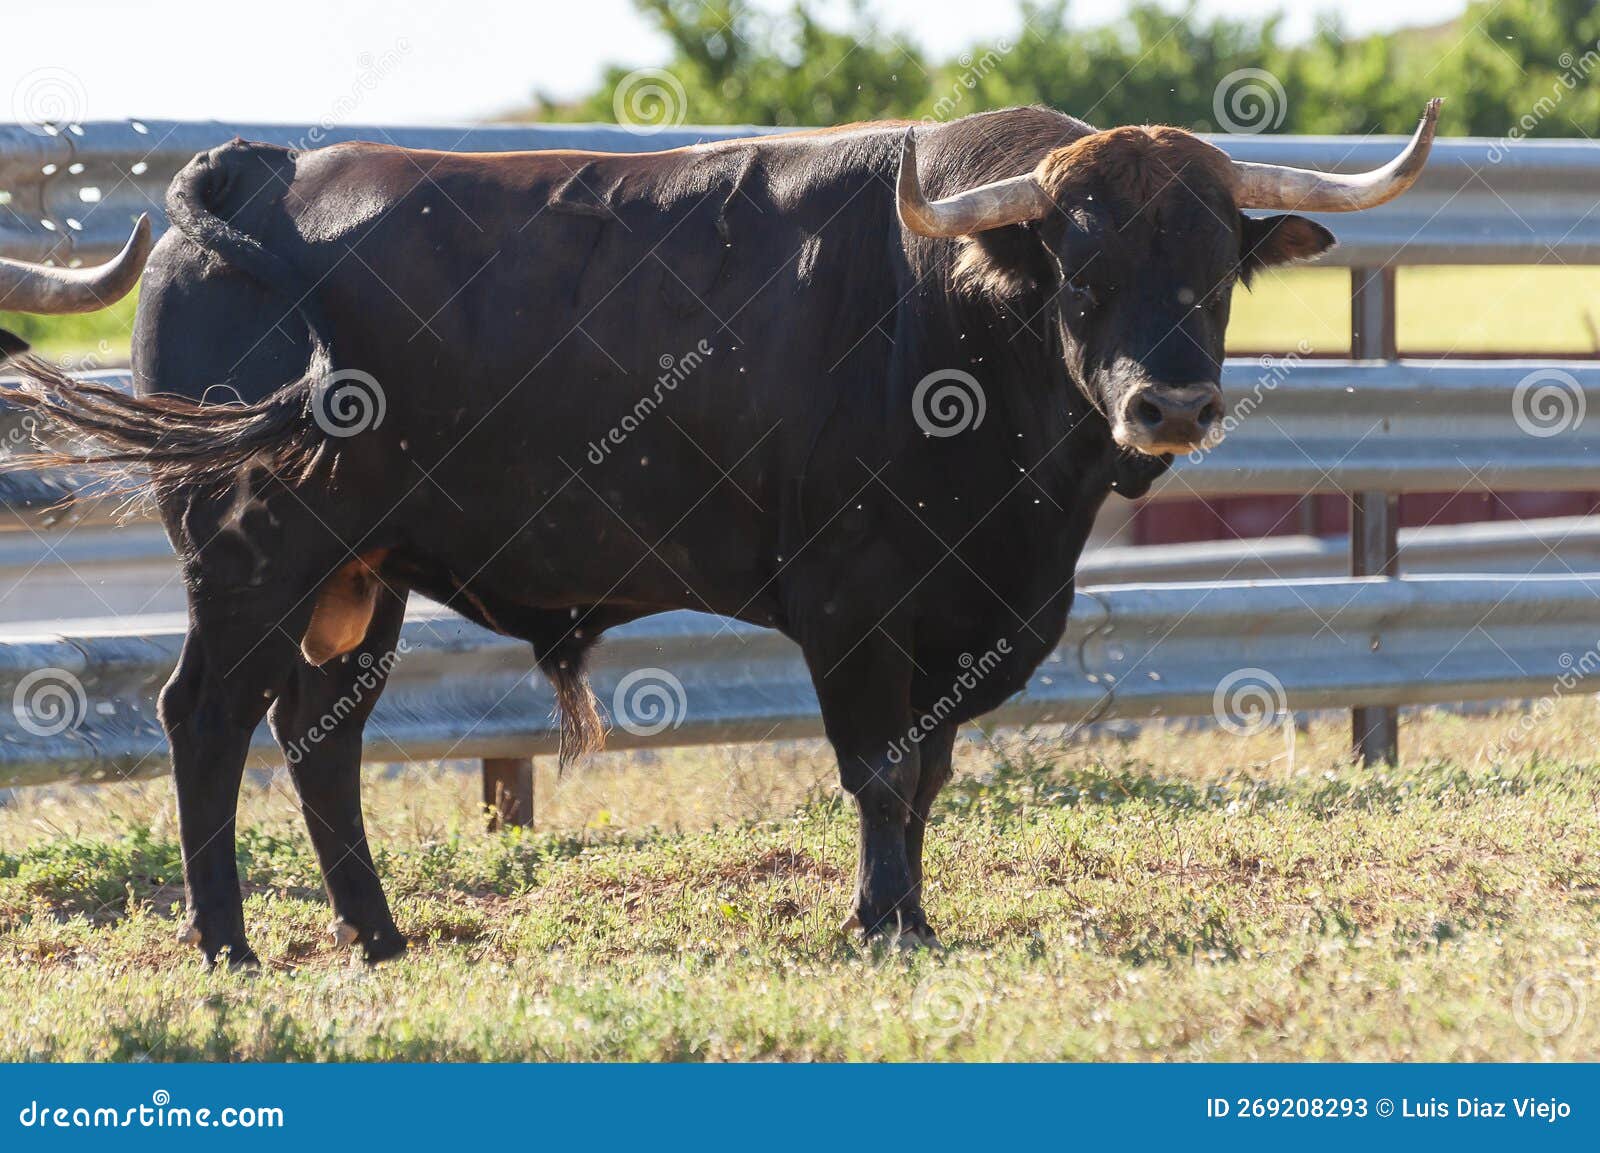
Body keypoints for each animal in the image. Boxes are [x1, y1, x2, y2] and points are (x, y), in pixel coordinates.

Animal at [1, 101, 1439, 965]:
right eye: (1081, 272)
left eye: (1214, 267)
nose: (1172, 403)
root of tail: (254, 170)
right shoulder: (853, 606)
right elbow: (880, 770)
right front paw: (881, 925)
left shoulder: (969, 622)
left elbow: (927, 776)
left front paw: (910, 913)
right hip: (250, 555)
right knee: (206, 719)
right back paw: (228, 946)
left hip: (357, 579)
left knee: (321, 739)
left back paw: (380, 935)